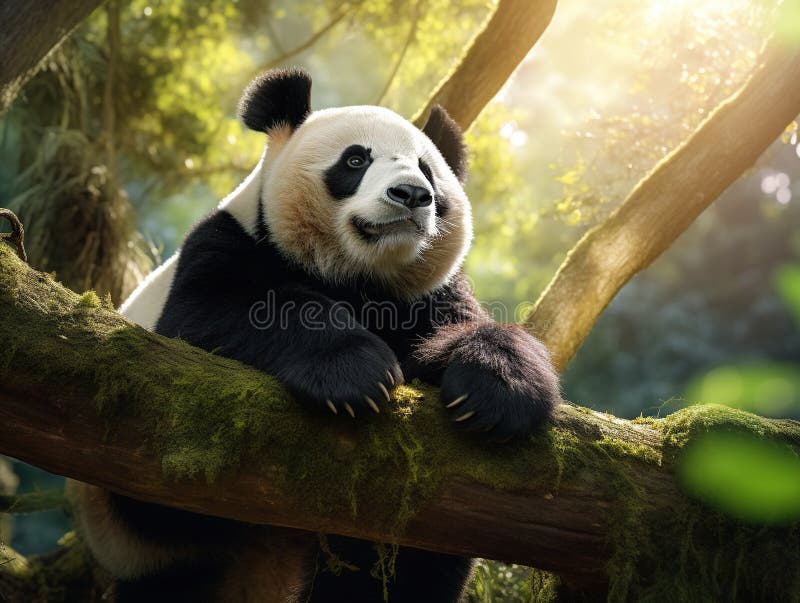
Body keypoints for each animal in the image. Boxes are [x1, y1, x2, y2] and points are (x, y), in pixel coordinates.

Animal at [67, 68, 561, 602]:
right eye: (356, 159)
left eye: (427, 171)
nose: (411, 195)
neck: (358, 276)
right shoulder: (228, 244)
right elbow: (214, 317)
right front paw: (356, 374)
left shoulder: (429, 295)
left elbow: (466, 332)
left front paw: (496, 391)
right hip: (145, 522)